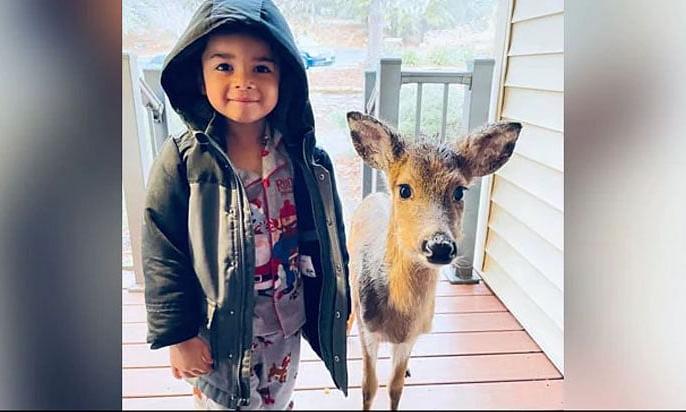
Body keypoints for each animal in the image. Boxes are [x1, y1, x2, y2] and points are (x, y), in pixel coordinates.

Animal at [344, 111, 521, 410]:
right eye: (404, 189)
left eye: (460, 191)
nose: (439, 246)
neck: (399, 317)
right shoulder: (368, 331)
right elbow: (369, 387)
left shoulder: (411, 336)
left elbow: (395, 387)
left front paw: (401, 376)